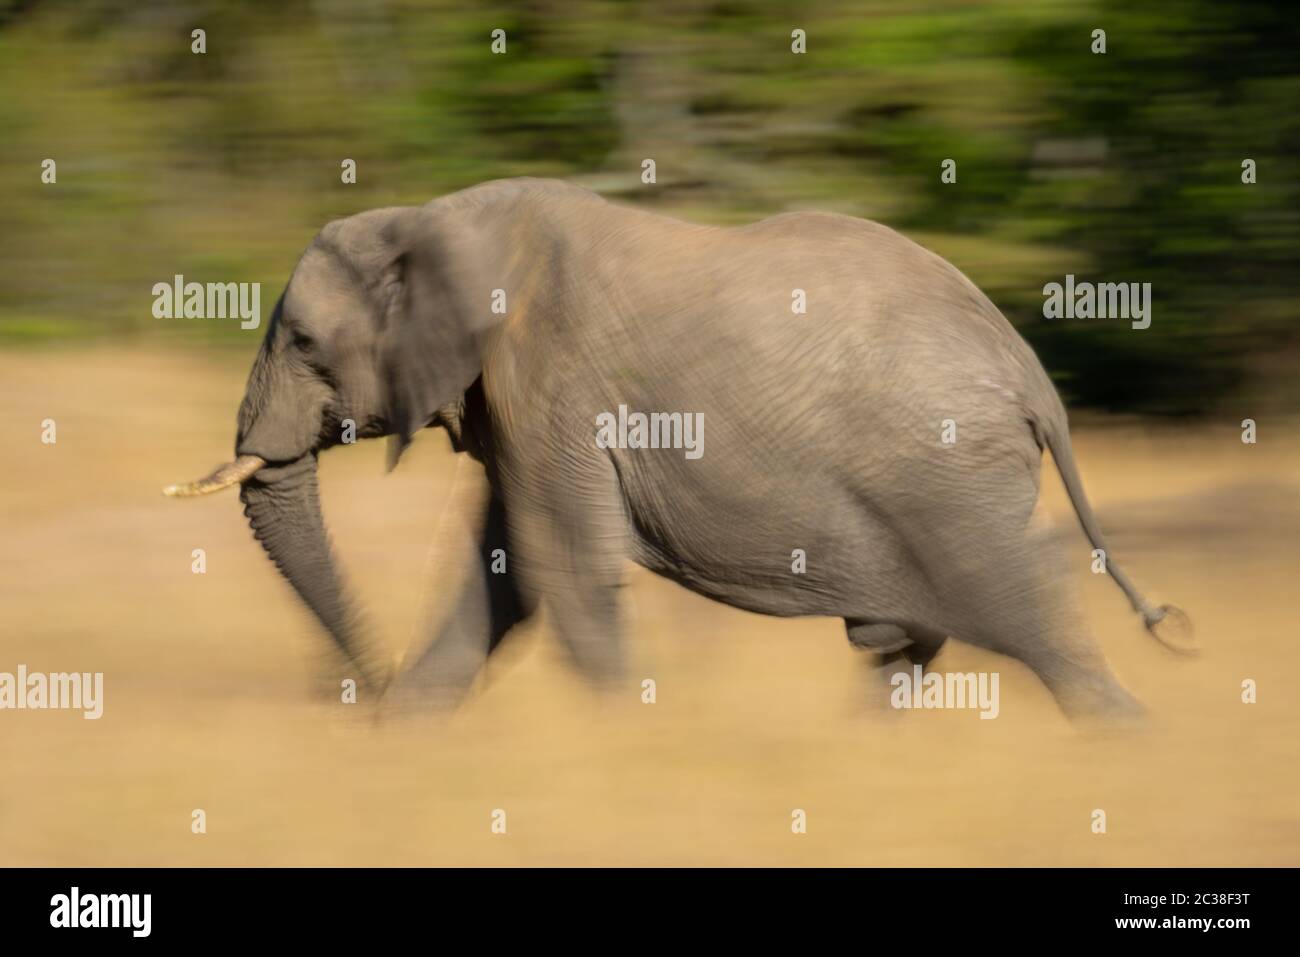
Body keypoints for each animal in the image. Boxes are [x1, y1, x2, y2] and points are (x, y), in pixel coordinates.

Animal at [164, 177, 1192, 719]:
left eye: (303, 343)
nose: (350, 688)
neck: (441, 217)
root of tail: (1036, 385)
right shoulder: (519, 407)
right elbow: (494, 578)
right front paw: (402, 746)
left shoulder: (551, 384)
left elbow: (562, 575)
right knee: (910, 643)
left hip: (948, 476)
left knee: (1026, 619)